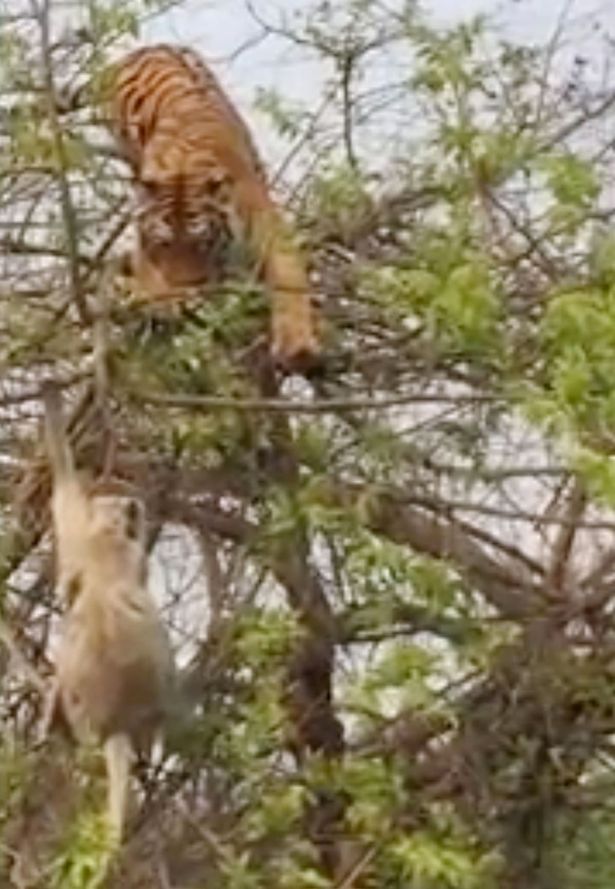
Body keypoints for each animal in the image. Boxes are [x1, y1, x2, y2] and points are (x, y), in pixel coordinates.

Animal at [107, 44, 320, 372]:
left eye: (201, 243)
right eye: (164, 244)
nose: (189, 287)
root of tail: (148, 48)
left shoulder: (265, 223)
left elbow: (288, 276)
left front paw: (296, 346)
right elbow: (147, 271)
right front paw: (161, 300)